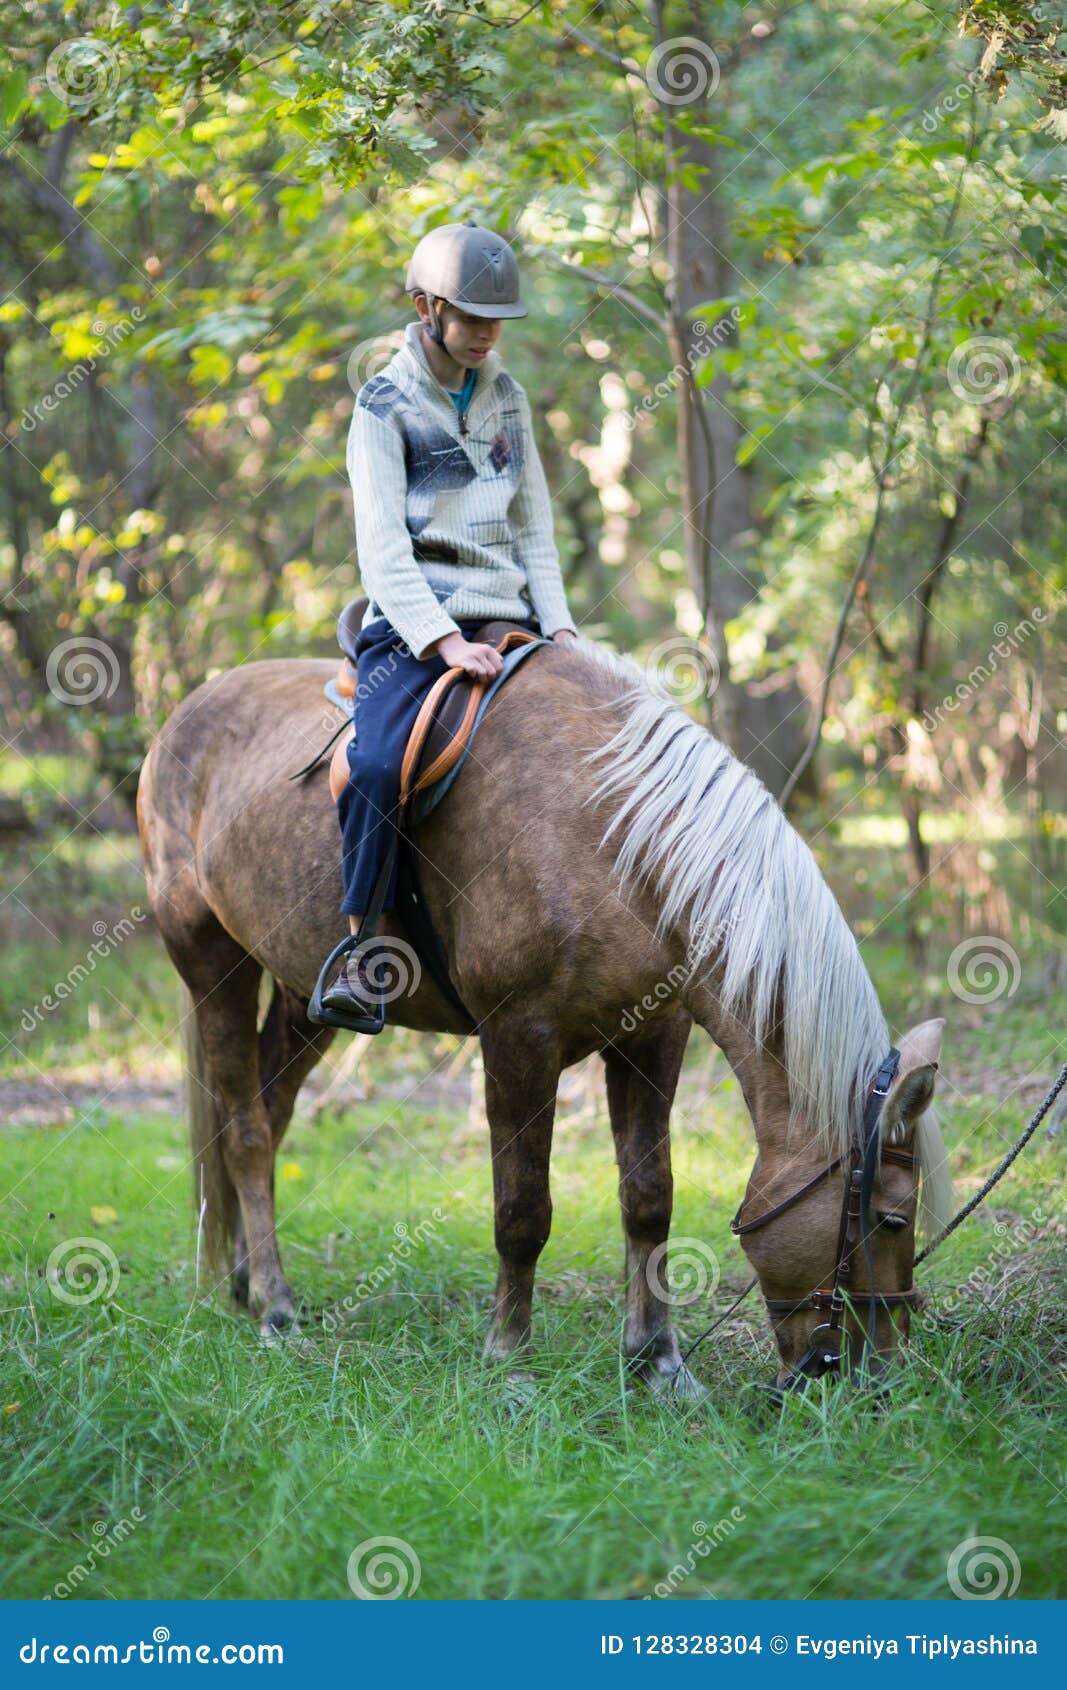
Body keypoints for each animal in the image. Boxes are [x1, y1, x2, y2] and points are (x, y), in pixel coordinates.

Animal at [136, 634, 953, 1395]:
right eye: (890, 1218)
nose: (881, 1374)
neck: (617, 839)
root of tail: (186, 714)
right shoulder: (517, 1039)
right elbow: (522, 1212)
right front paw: (509, 1364)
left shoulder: (652, 1036)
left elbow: (648, 1197)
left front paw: (658, 1362)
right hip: (209, 960)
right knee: (245, 1131)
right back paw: (274, 1303)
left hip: (302, 993)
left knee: (269, 1112)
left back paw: (248, 1279)